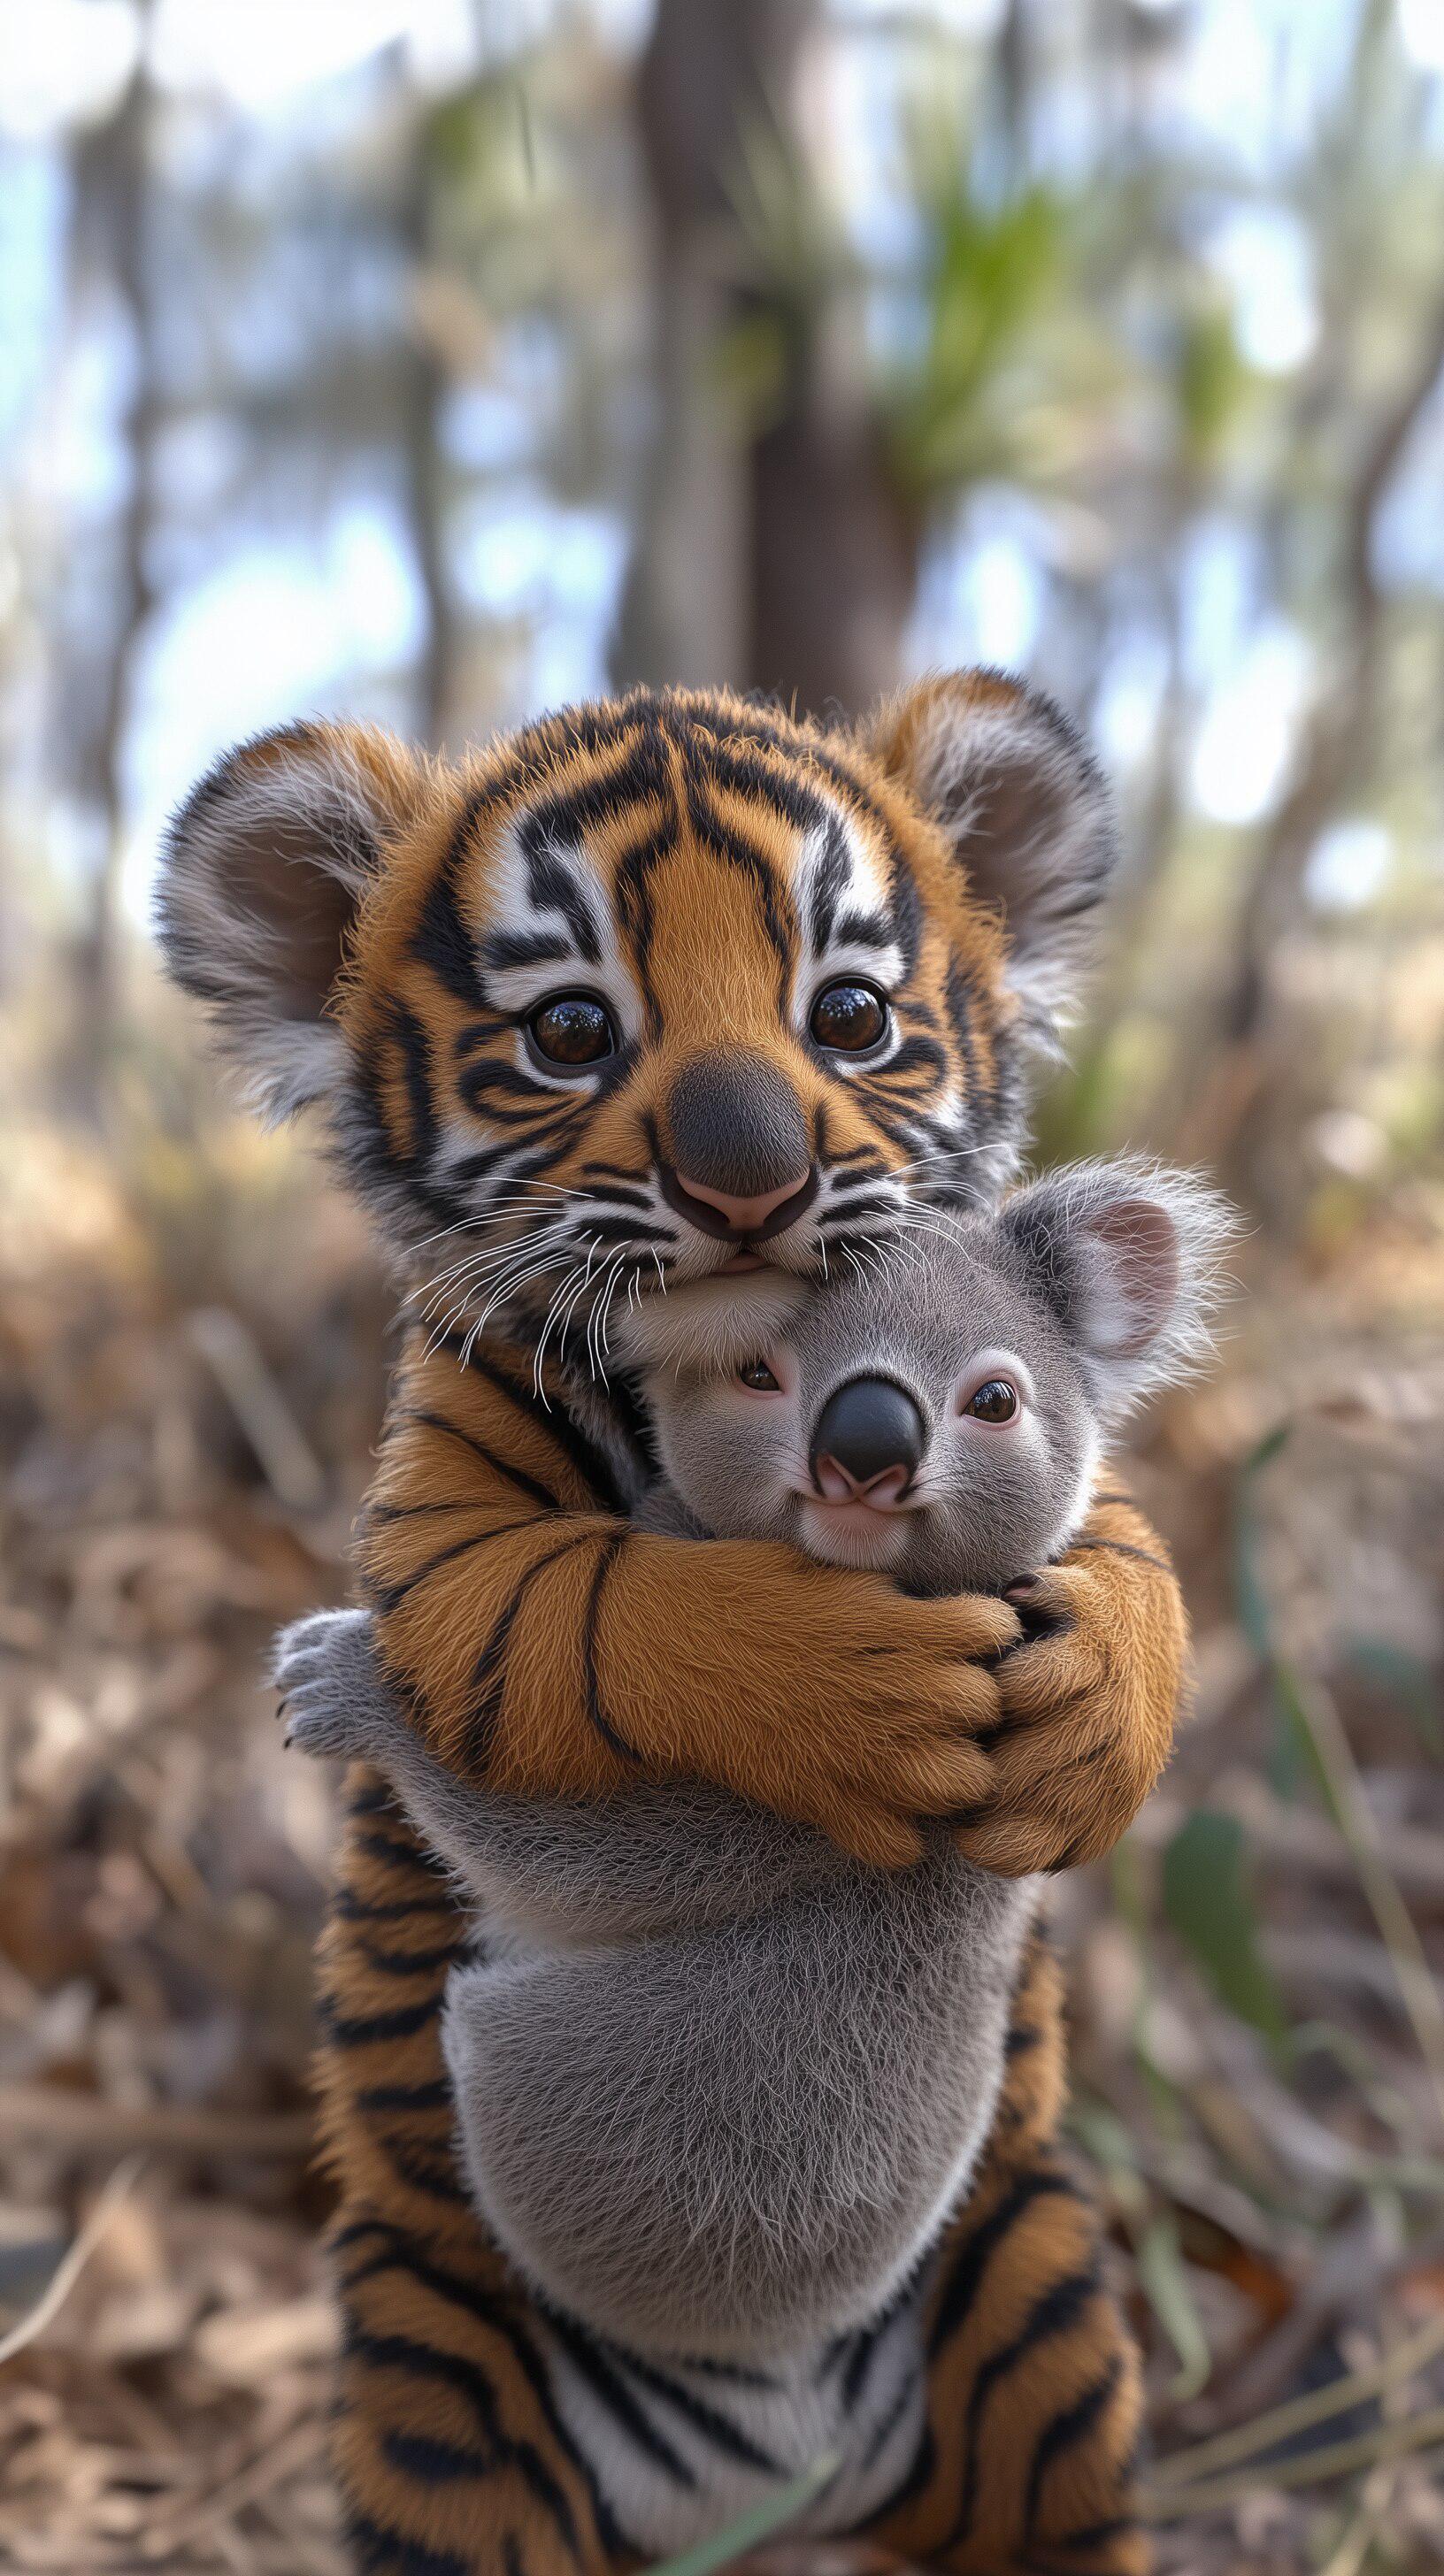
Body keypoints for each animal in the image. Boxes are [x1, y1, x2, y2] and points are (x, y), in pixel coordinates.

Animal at [156, 674, 1186, 2576]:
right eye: (573, 1031)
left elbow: (1111, 1542)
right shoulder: (454, 1534)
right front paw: (857, 1687)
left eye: (849, 1015)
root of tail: (775, 2475)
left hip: (1046, 2302)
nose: (746, 1177)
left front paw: (1093, 1699)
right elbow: (588, 1616)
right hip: (441, 2381)